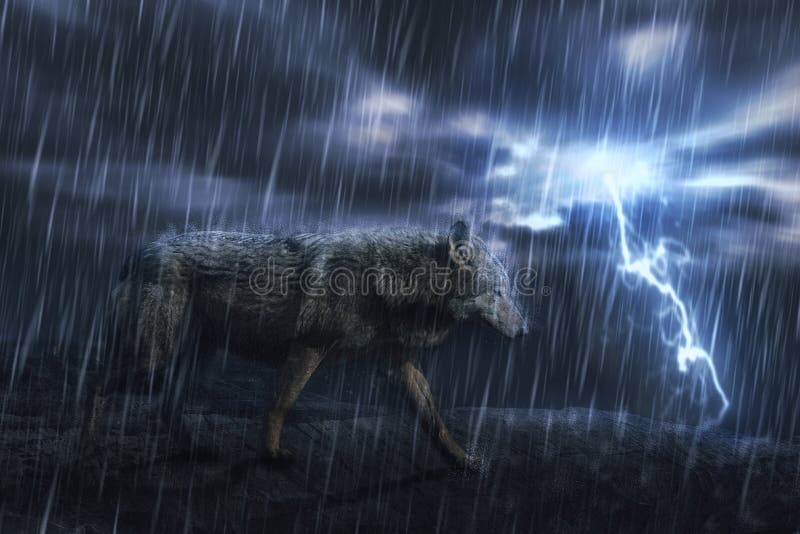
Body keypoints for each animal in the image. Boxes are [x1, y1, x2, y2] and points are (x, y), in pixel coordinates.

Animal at [89, 221, 527, 467]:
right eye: (498, 293)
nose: (525, 331)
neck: (391, 281)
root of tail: (141, 250)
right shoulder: (308, 348)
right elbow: (281, 405)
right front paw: (272, 455)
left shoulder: (398, 365)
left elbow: (435, 420)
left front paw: (464, 460)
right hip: (153, 356)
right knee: (99, 381)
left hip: (191, 357)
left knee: (166, 405)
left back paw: (197, 451)